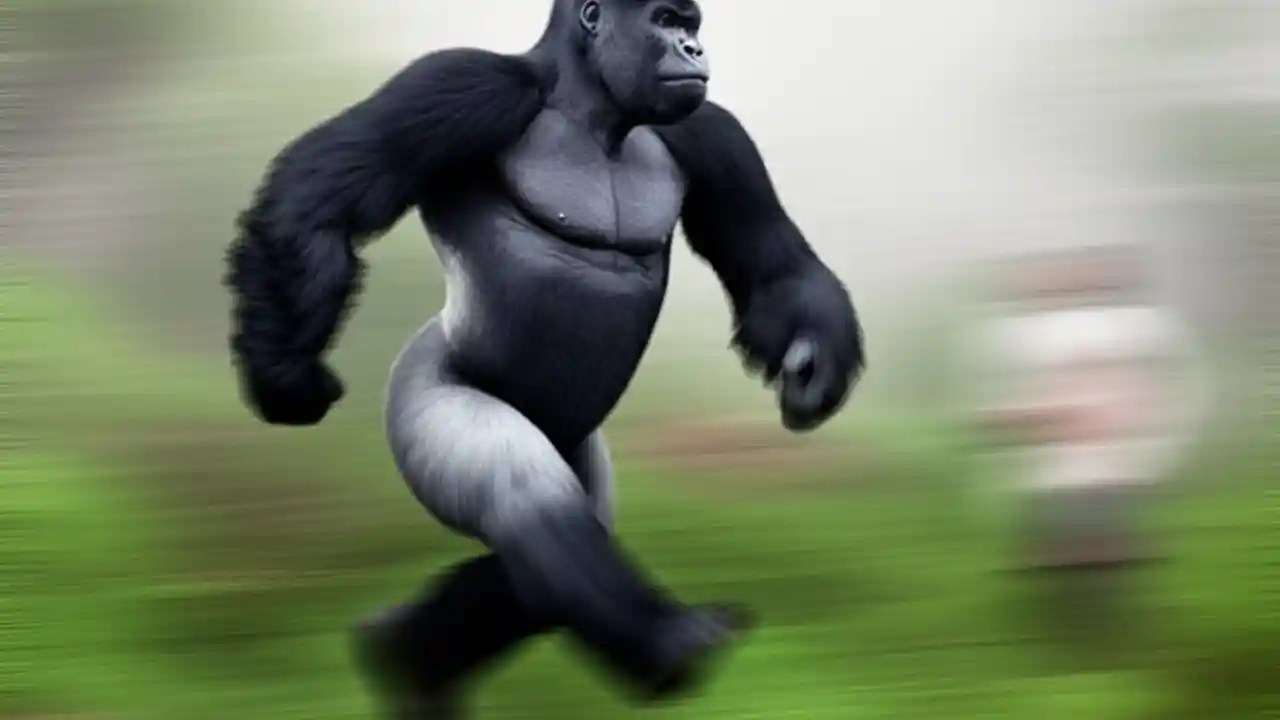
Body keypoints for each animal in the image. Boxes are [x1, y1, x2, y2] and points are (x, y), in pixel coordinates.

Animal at [226, 0, 864, 716]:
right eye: (665, 20)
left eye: (690, 24)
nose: (694, 50)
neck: (593, 106)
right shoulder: (460, 82)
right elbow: (319, 200)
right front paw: (284, 375)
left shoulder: (713, 133)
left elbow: (773, 263)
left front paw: (816, 367)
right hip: (430, 382)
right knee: (522, 489)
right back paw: (667, 645)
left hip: (576, 440)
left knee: (554, 544)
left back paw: (412, 659)